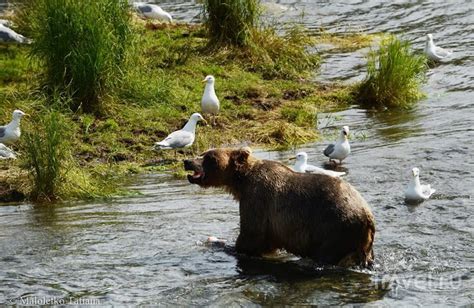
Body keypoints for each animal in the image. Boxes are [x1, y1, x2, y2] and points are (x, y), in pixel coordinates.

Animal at [183, 147, 376, 268]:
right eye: (203, 153)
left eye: (210, 157)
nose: (187, 161)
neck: (241, 182)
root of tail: (367, 216)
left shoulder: (257, 201)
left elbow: (250, 236)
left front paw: (221, 244)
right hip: (360, 242)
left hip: (334, 227)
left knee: (325, 253)